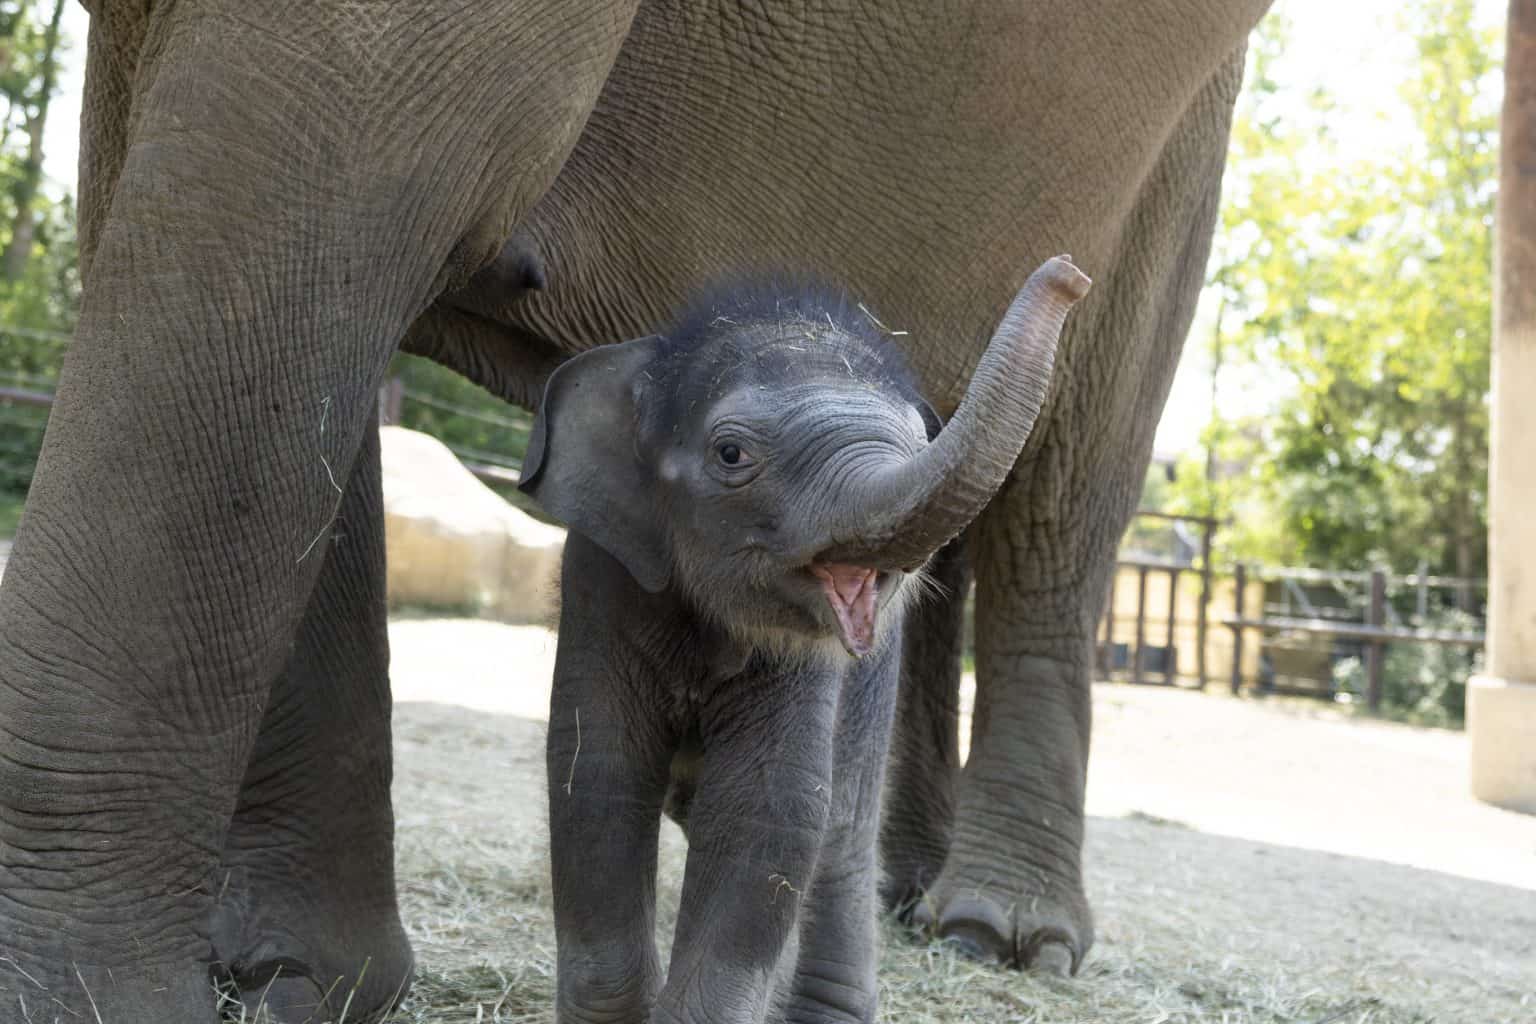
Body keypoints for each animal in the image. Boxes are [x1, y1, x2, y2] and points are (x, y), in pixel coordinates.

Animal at [522, 261, 1089, 1023]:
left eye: (920, 445)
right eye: (731, 453)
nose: (1071, 275)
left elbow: (772, 806)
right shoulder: (603, 580)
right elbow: (598, 774)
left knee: (843, 832)